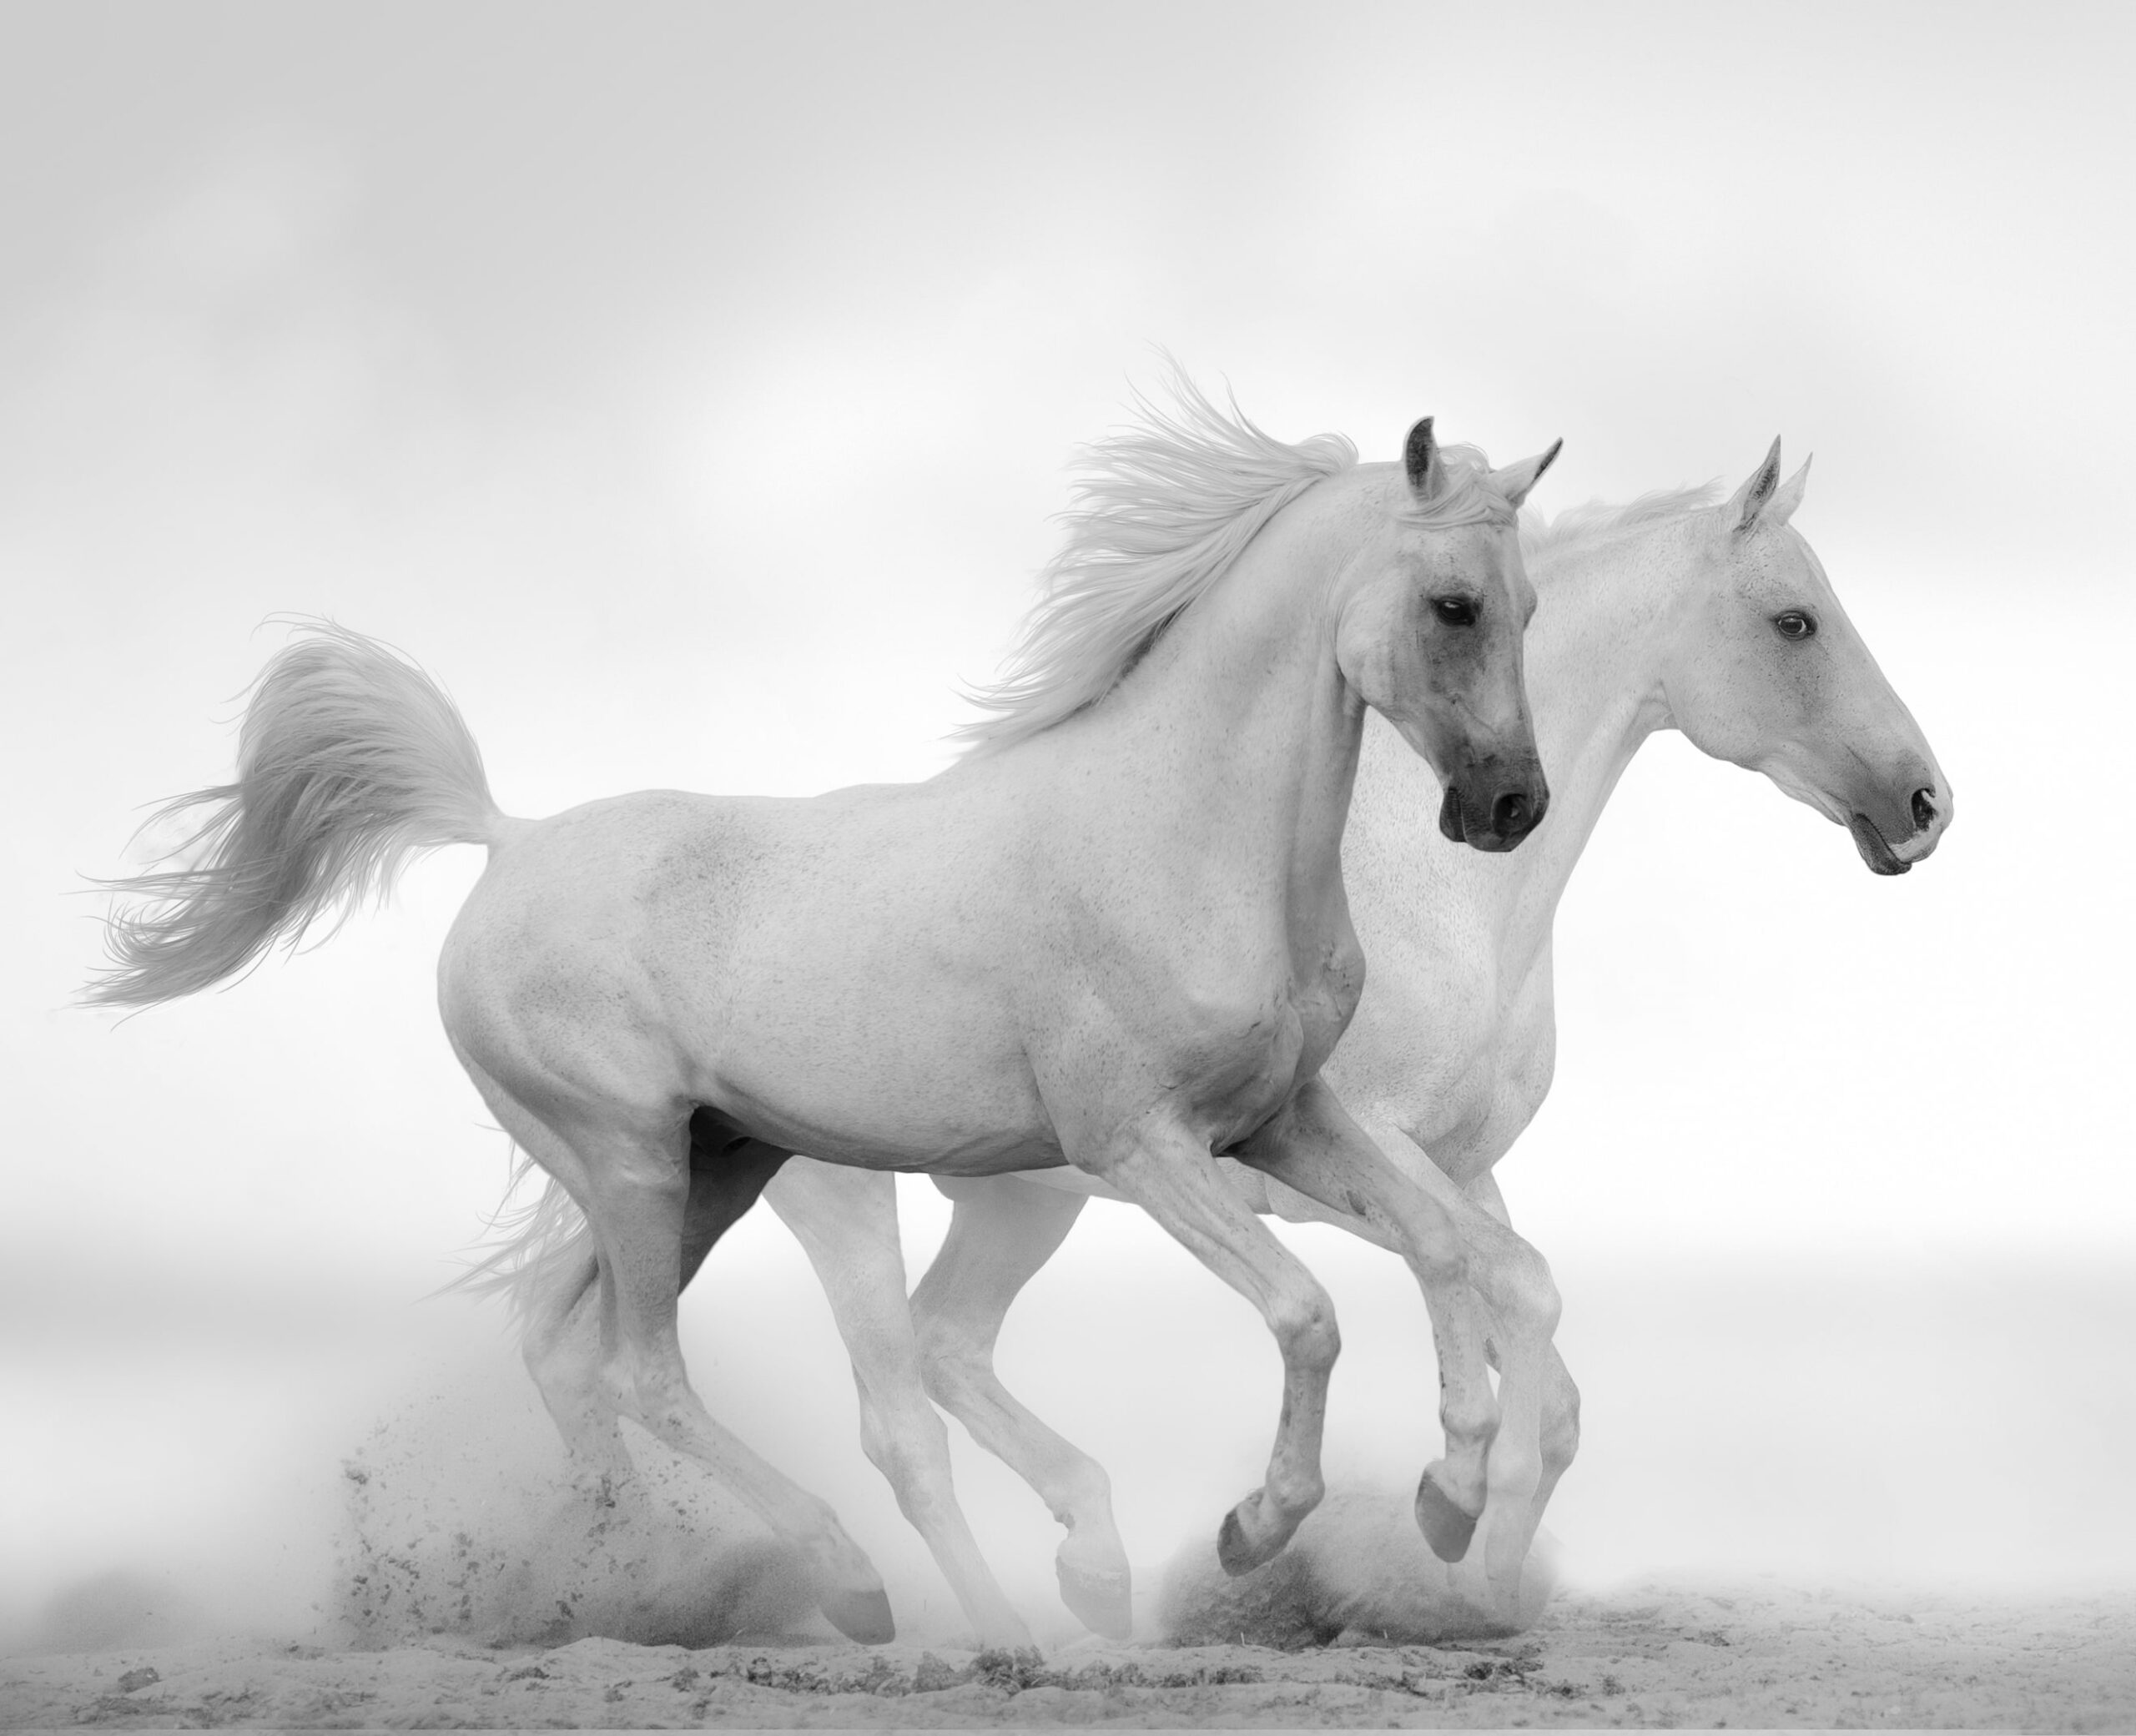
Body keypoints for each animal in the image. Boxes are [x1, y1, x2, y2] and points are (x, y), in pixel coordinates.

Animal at [89, 379, 1564, 1647]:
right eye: (1452, 604)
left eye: (1530, 606)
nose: (1510, 806)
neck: (1190, 838)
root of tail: (507, 841)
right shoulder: (1139, 1146)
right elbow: (1310, 1310)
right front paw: (1256, 1526)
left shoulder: (1284, 1118)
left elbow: (1445, 1246)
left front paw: (1445, 1502)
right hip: (632, 1160)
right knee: (643, 1371)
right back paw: (859, 1587)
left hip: (708, 1166)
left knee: (563, 1348)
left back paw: (642, 1583)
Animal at [749, 438, 1953, 1642]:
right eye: (1795, 621)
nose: (1925, 802)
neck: (1446, 900)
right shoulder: (1354, 1158)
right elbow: (1512, 1290)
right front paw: (1456, 1540)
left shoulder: (1462, 1166)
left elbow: (1546, 1382)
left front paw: (1477, 1574)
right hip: (843, 1199)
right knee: (901, 1429)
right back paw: (978, 1623)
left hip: (1019, 1202)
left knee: (949, 1344)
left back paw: (1092, 1571)